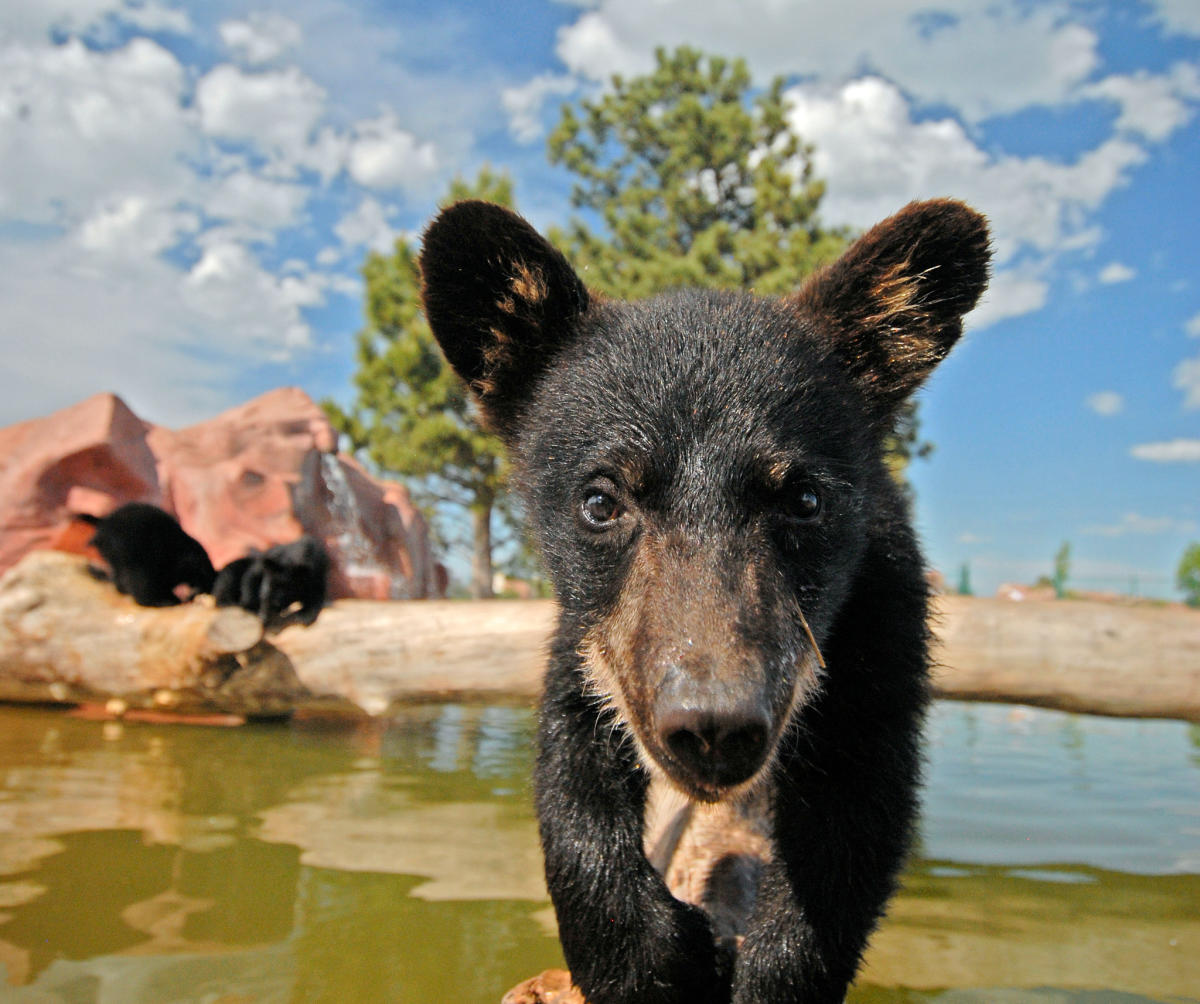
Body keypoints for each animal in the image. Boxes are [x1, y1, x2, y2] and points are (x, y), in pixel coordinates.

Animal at [419, 198, 990, 1004]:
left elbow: (856, 819)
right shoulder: (592, 633)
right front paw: (647, 960)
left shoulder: (881, 627)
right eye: (601, 500)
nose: (713, 725)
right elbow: (571, 781)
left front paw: (771, 969)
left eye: (805, 499)